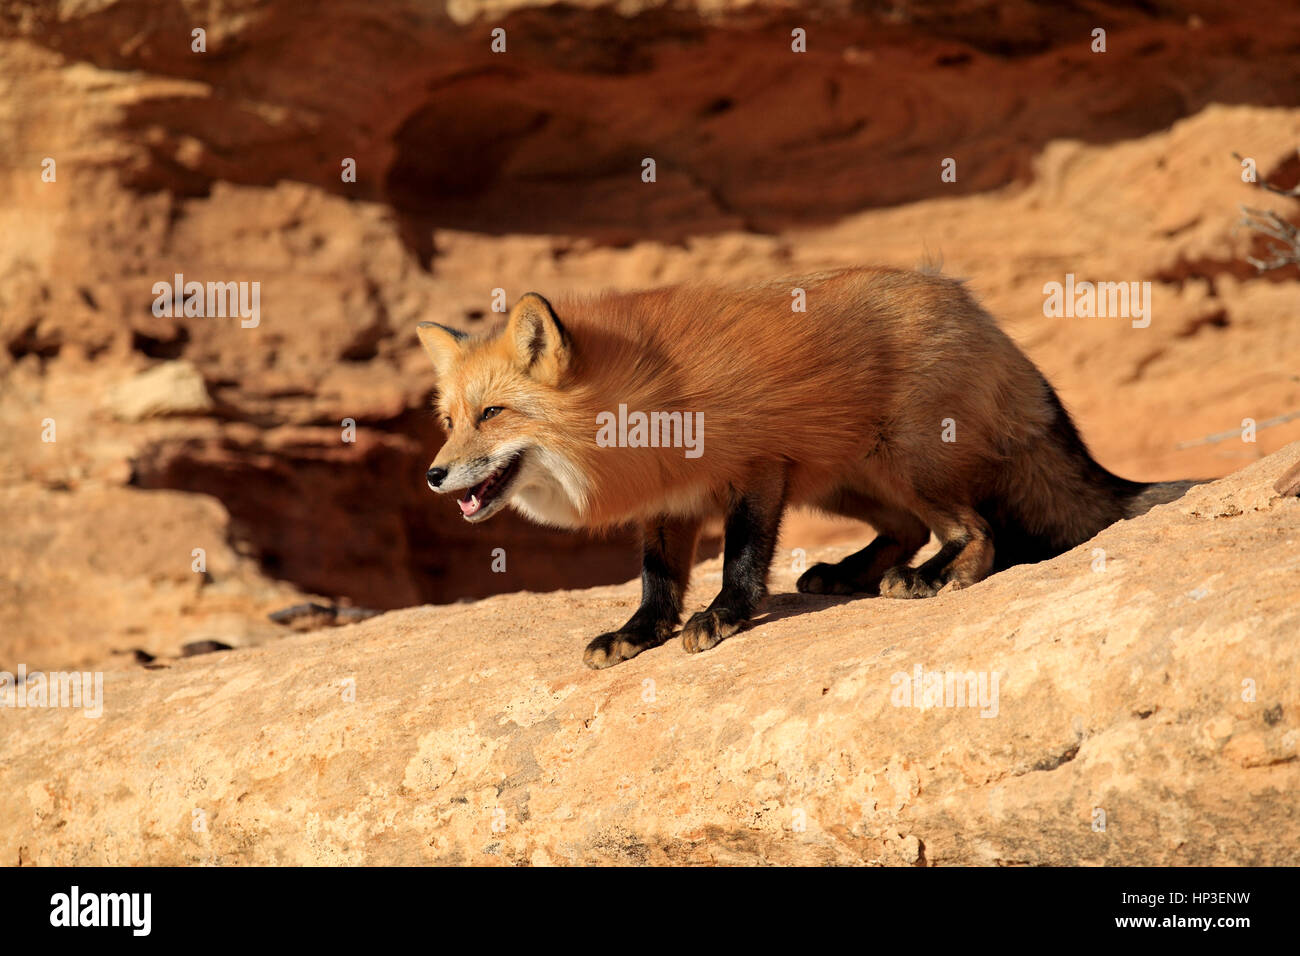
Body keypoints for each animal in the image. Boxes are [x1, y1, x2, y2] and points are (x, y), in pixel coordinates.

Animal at [418, 267, 1193, 669]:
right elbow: (657, 580)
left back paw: (925, 578)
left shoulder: (760, 465)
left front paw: (724, 616)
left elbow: (741, 558)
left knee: (976, 534)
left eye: (493, 414)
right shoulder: (670, 504)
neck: (645, 399)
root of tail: (975, 309)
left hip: (903, 458)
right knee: (908, 529)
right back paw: (848, 572)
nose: (431, 476)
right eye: (450, 423)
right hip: (844, 484)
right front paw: (638, 633)